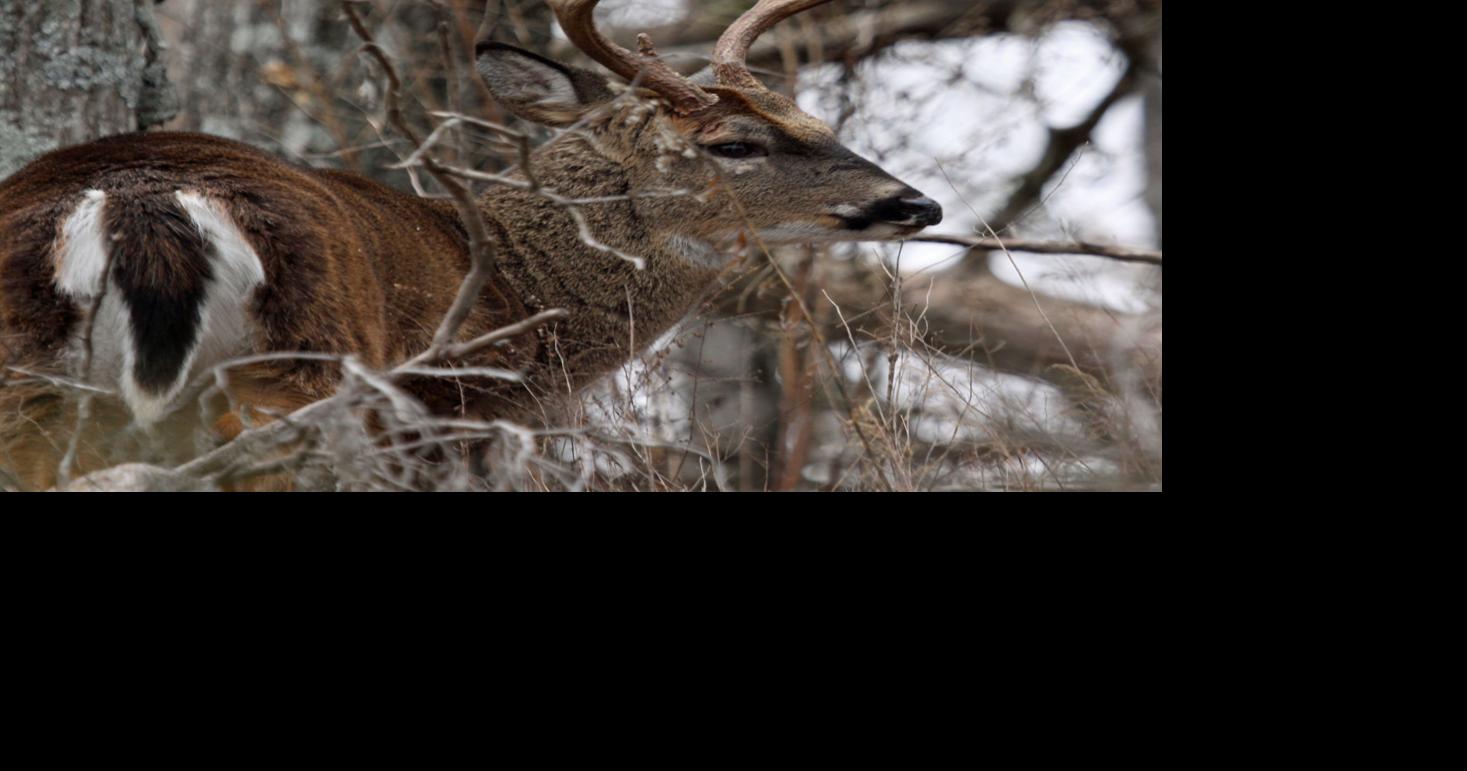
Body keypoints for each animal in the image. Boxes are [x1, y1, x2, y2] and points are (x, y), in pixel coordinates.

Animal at [0, 0, 942, 491]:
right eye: (734, 144)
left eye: (815, 118)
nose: (915, 201)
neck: (528, 299)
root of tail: (140, 203)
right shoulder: (456, 415)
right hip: (300, 372)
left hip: (29, 383)